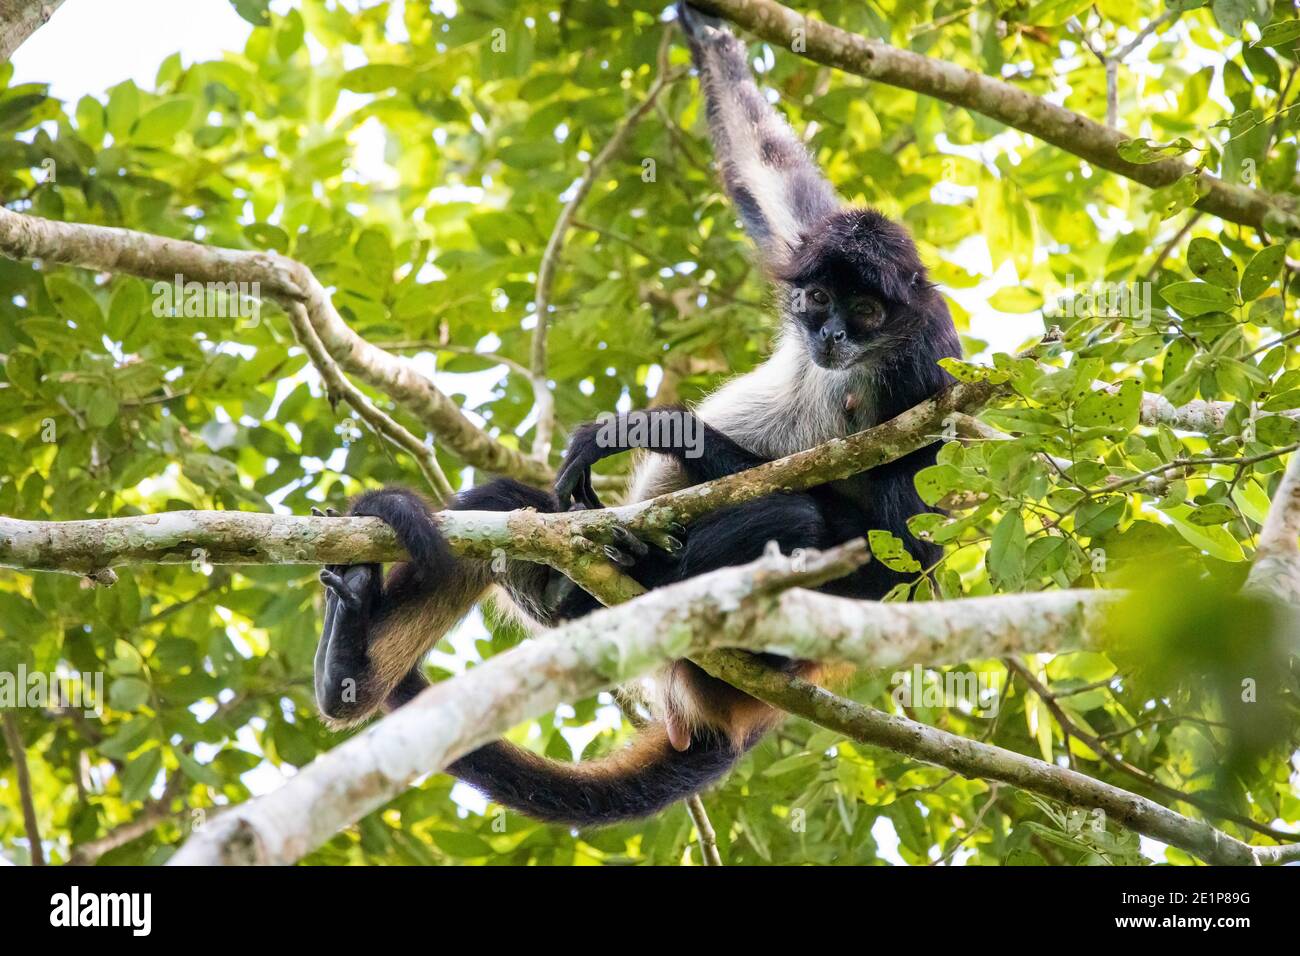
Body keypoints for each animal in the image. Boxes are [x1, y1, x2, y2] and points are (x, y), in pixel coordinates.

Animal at [312, 4, 961, 826]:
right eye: (819, 300)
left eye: (869, 313)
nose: (833, 336)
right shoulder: (811, 242)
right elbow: (761, 162)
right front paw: (705, 28)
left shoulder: (929, 364)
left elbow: (909, 541)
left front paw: (642, 430)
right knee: (503, 509)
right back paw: (353, 663)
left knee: (802, 521)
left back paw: (655, 576)